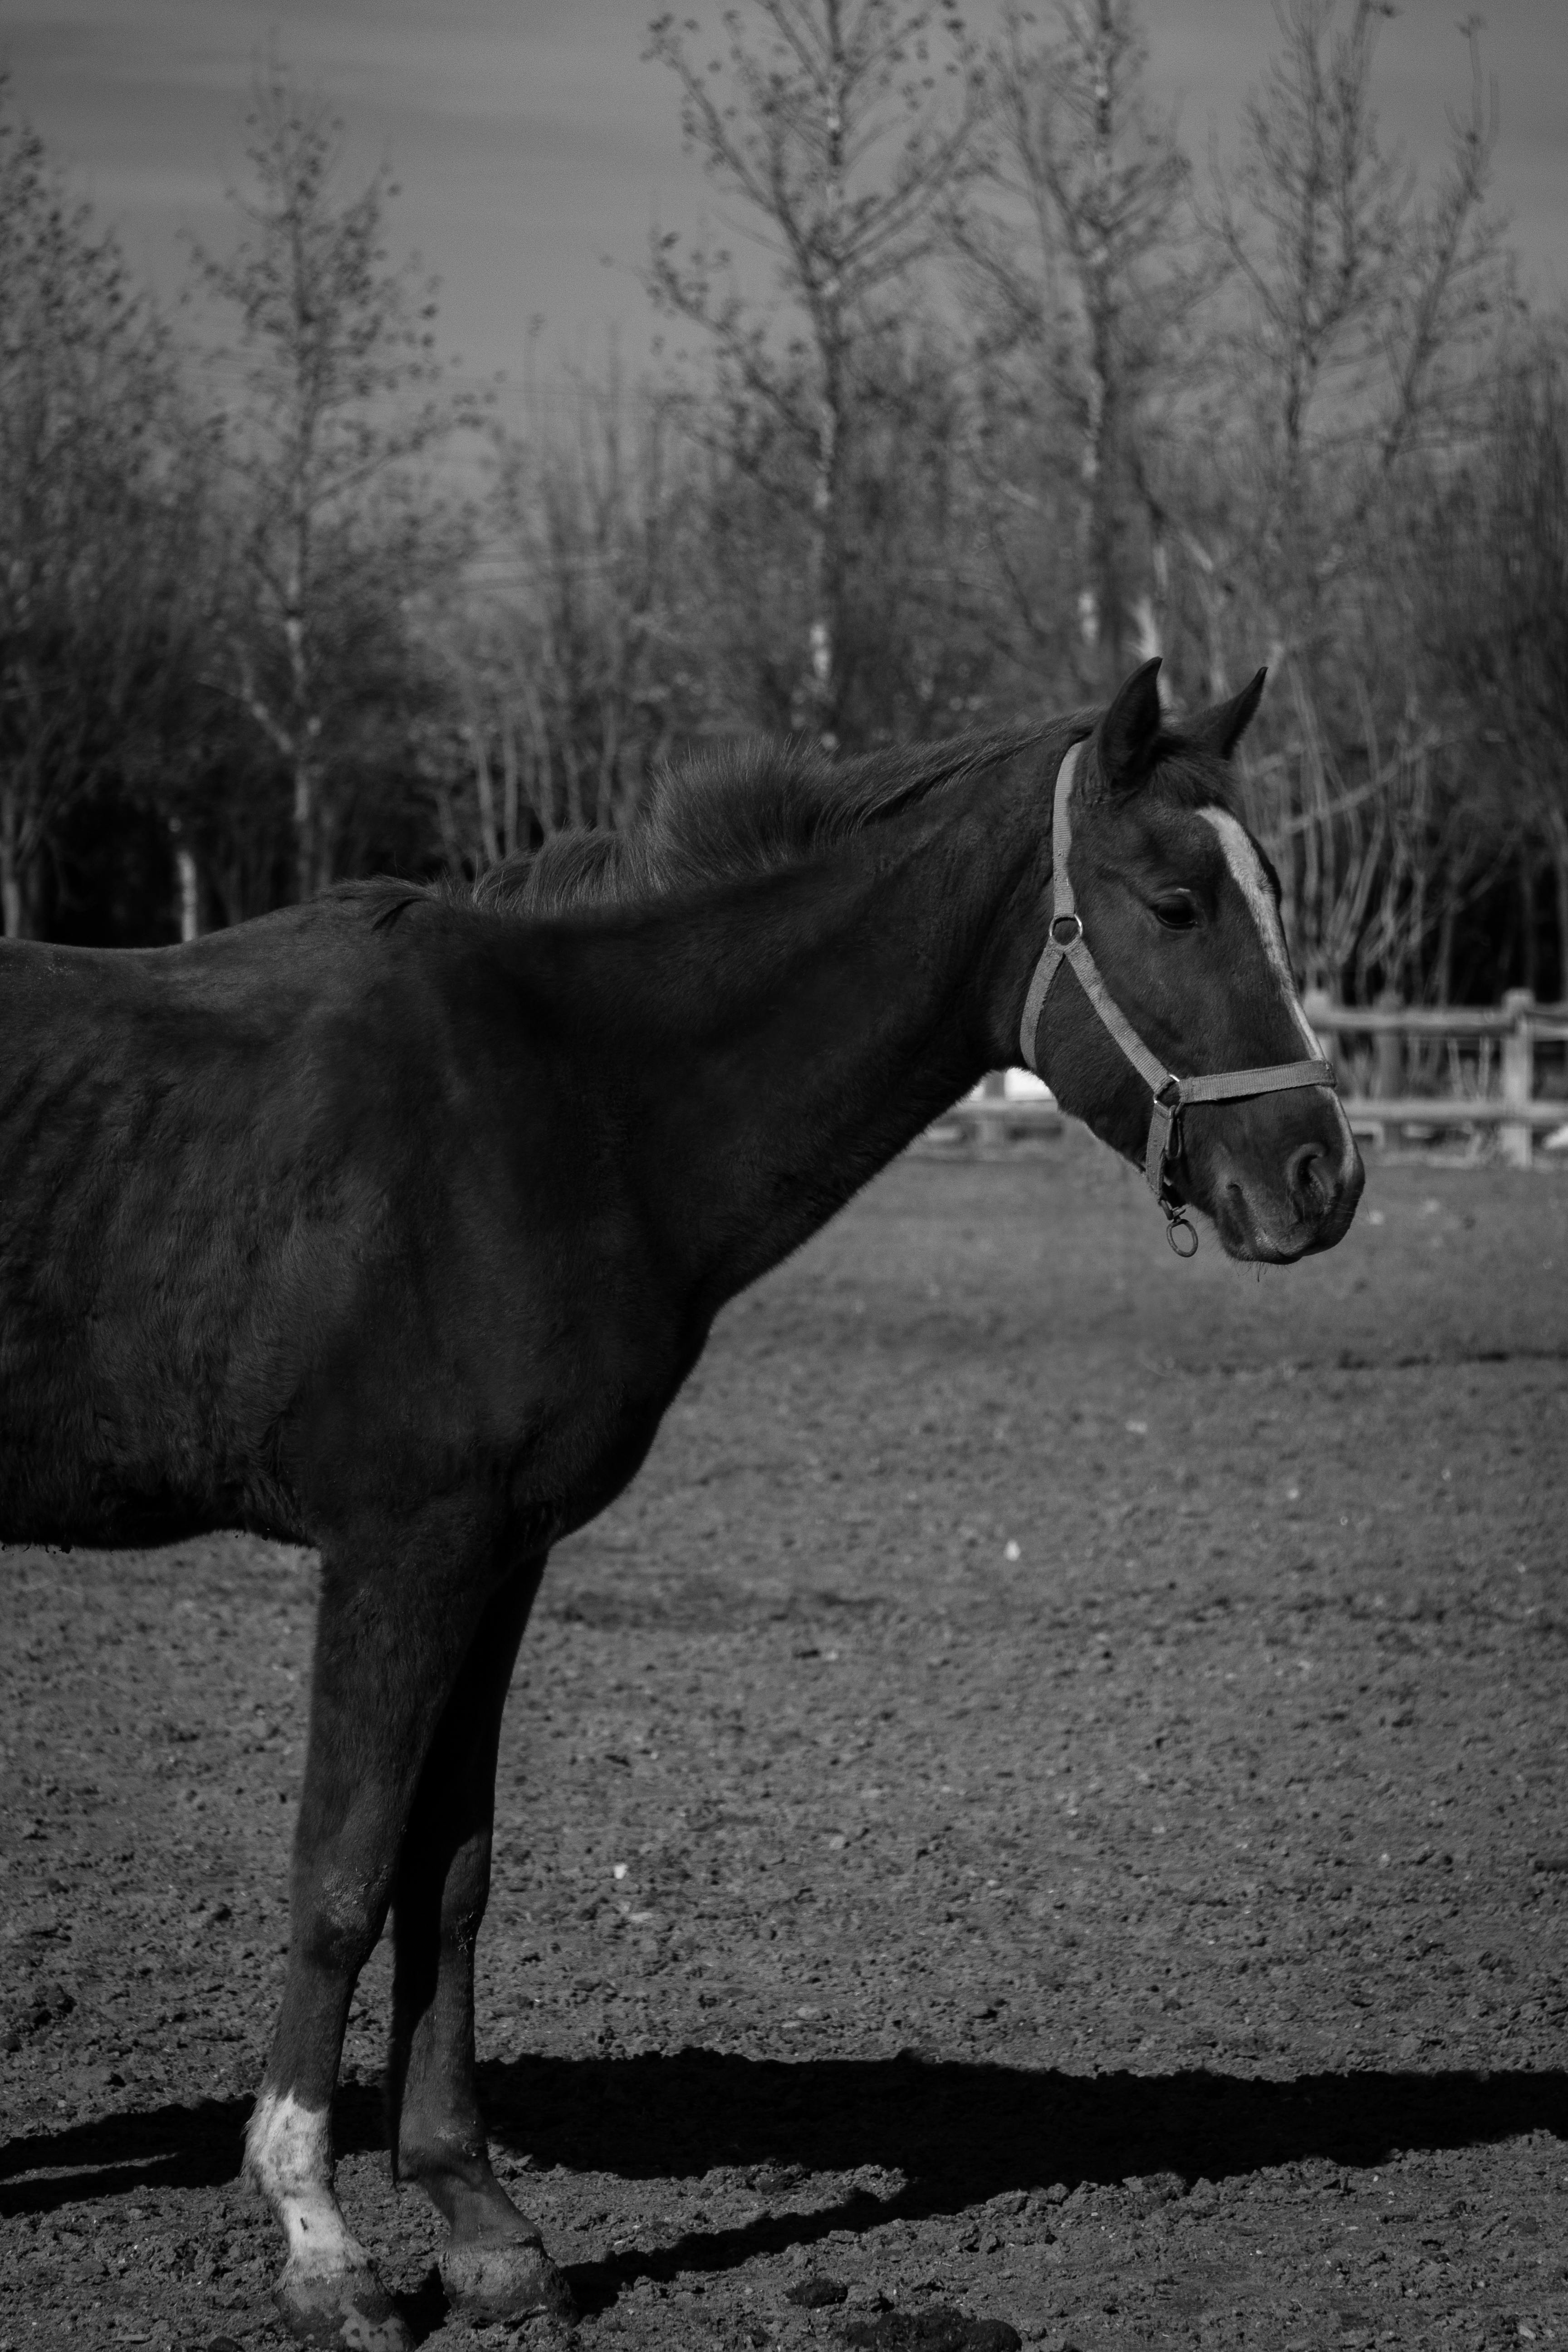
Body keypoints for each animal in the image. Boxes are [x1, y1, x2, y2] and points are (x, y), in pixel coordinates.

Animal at [0, 659, 1361, 2347]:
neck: (559, 1096)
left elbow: (447, 1878)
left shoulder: (496, 1560)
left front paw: (479, 2221)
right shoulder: (402, 1554)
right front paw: (321, 2237)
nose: (1320, 1176)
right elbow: (341, 1875)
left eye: (1272, 890)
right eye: (1174, 901)